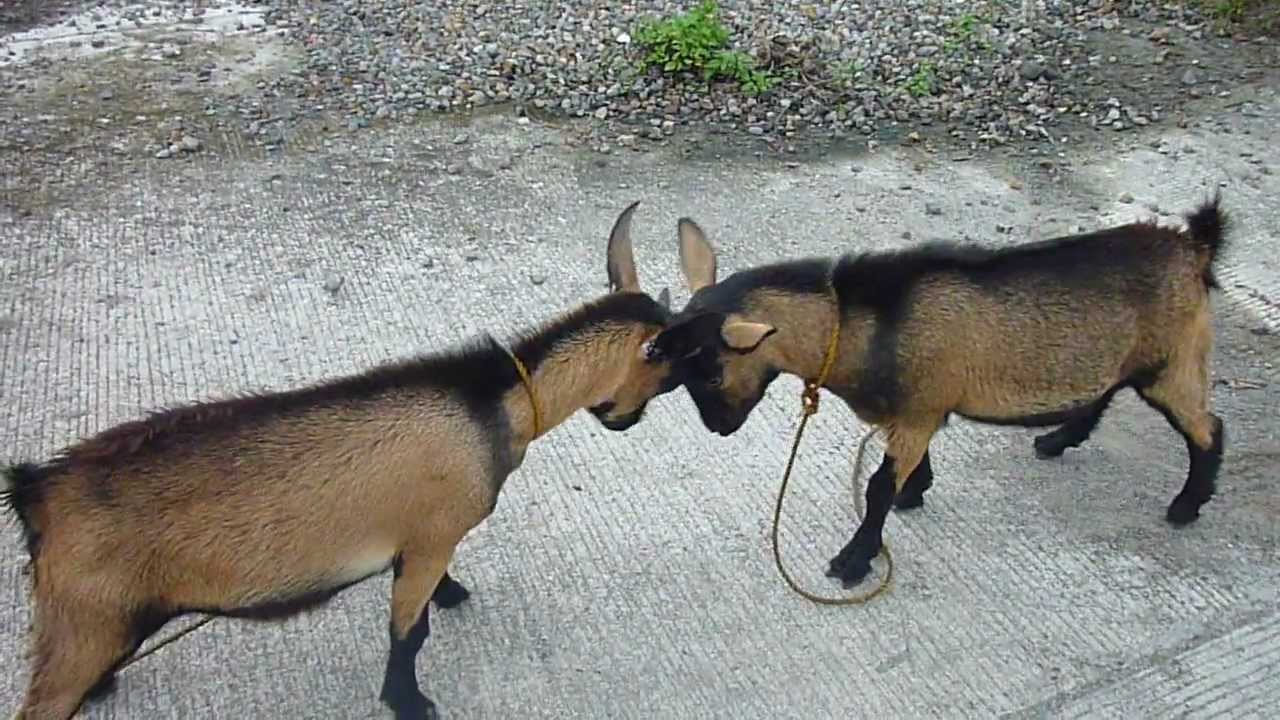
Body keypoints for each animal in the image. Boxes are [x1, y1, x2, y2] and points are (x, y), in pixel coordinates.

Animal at [1, 201, 681, 720]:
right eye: (670, 370)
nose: (626, 421)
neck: (496, 404)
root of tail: (35, 491)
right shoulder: (433, 533)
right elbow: (408, 634)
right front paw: (409, 702)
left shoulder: (424, 540)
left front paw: (452, 594)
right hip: (88, 618)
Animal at [649, 194, 1230, 588]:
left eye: (711, 373)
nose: (719, 428)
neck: (860, 322)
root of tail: (1195, 246)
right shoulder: (915, 411)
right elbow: (906, 466)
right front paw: (915, 492)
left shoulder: (919, 409)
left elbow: (876, 487)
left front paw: (853, 560)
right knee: (1105, 389)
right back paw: (1057, 440)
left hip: (1174, 361)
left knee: (1208, 429)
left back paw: (1186, 506)